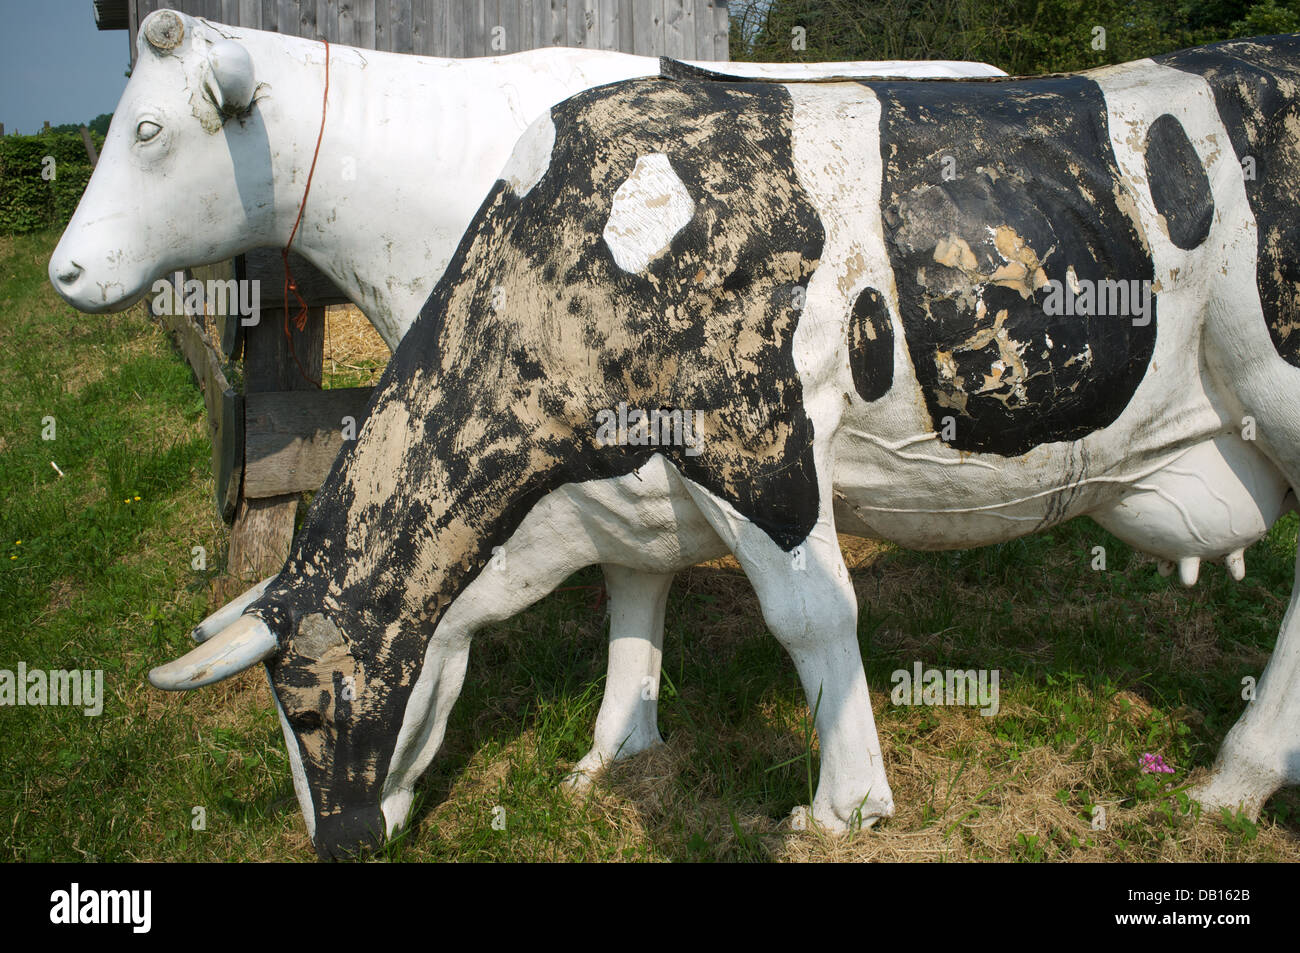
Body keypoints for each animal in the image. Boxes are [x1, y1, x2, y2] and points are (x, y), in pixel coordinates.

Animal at [147, 33, 1300, 859]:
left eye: (306, 701)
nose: (340, 845)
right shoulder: (635, 493)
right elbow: (632, 605)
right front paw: (612, 751)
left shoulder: (758, 435)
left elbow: (814, 617)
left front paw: (844, 806)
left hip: (1276, 386)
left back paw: (1234, 777)